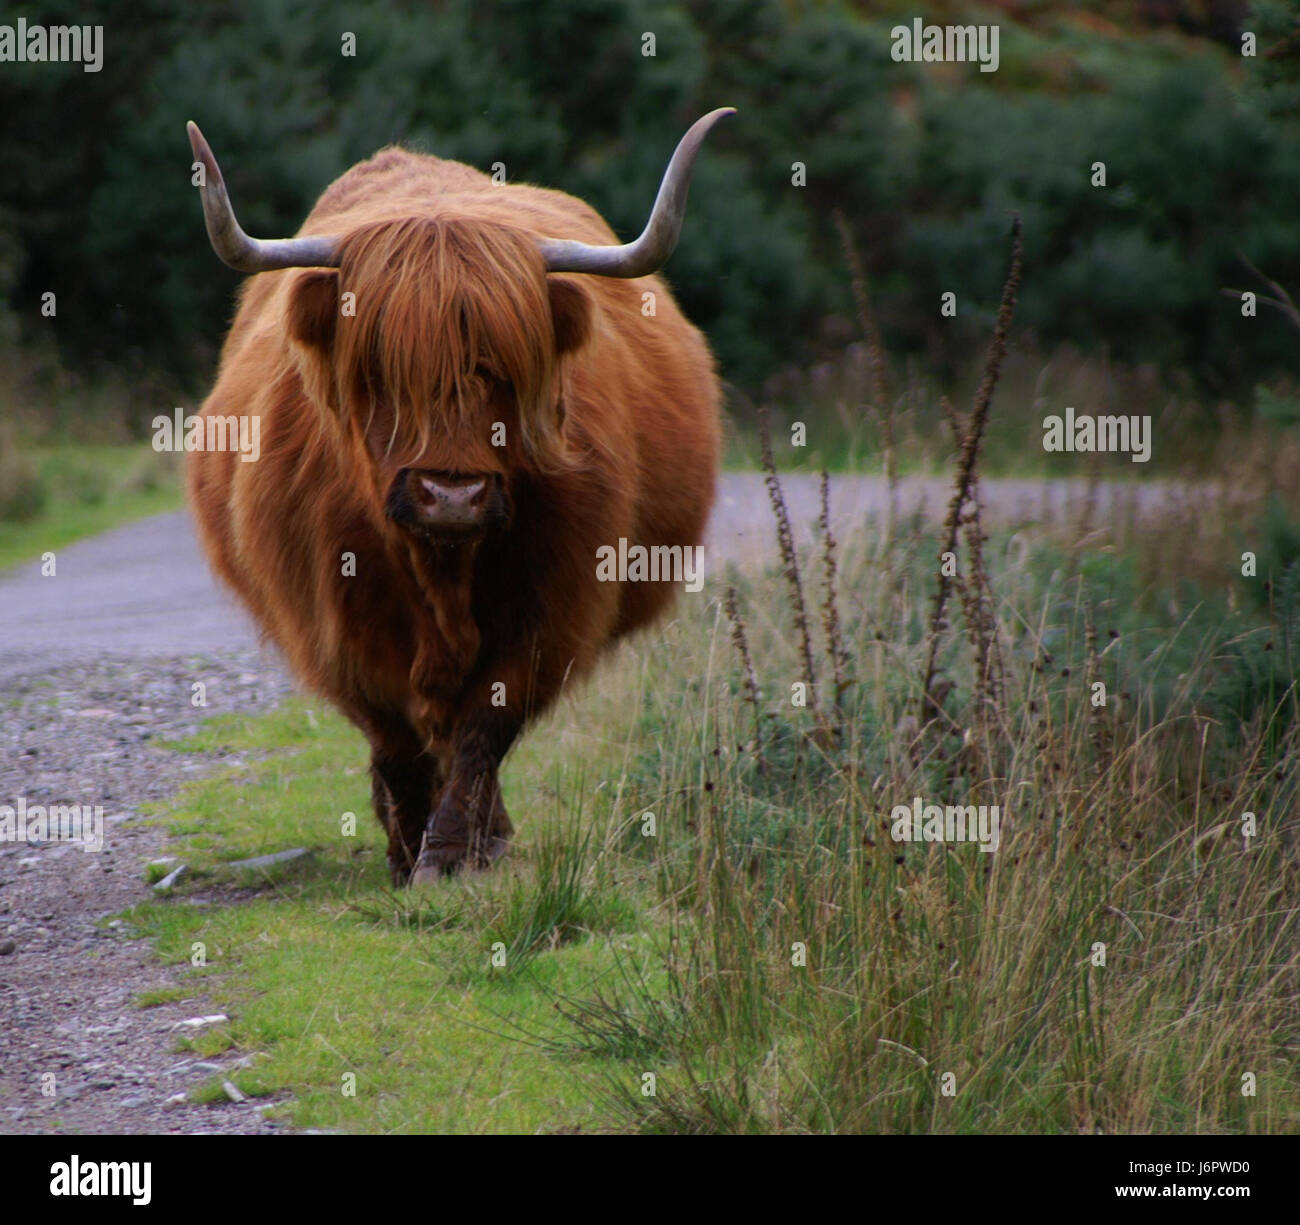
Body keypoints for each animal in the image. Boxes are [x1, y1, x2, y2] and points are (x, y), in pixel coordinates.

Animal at [184, 110, 731, 884]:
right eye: (380, 369)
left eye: (500, 368)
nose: (452, 493)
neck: (438, 569)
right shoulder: (334, 623)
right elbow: (394, 739)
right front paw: (407, 846)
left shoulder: (552, 609)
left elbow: (484, 728)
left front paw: (448, 853)